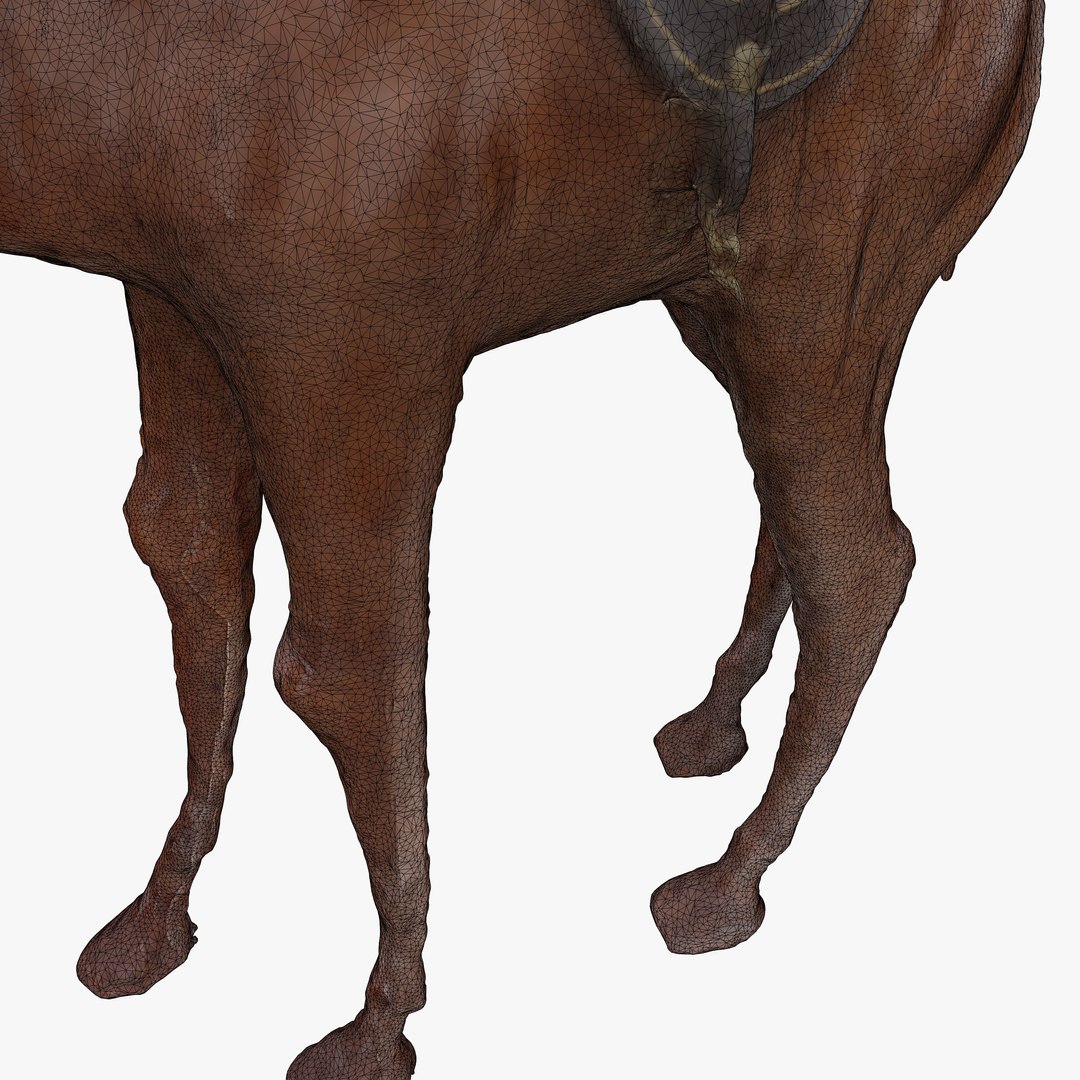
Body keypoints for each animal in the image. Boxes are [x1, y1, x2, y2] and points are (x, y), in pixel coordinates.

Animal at [0, 0, 1044, 1076]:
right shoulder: (180, 302)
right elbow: (188, 562)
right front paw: (153, 922)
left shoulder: (353, 351)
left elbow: (341, 675)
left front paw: (379, 1020)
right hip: (727, 306)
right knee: (792, 508)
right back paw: (710, 726)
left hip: (819, 305)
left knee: (863, 563)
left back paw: (720, 885)